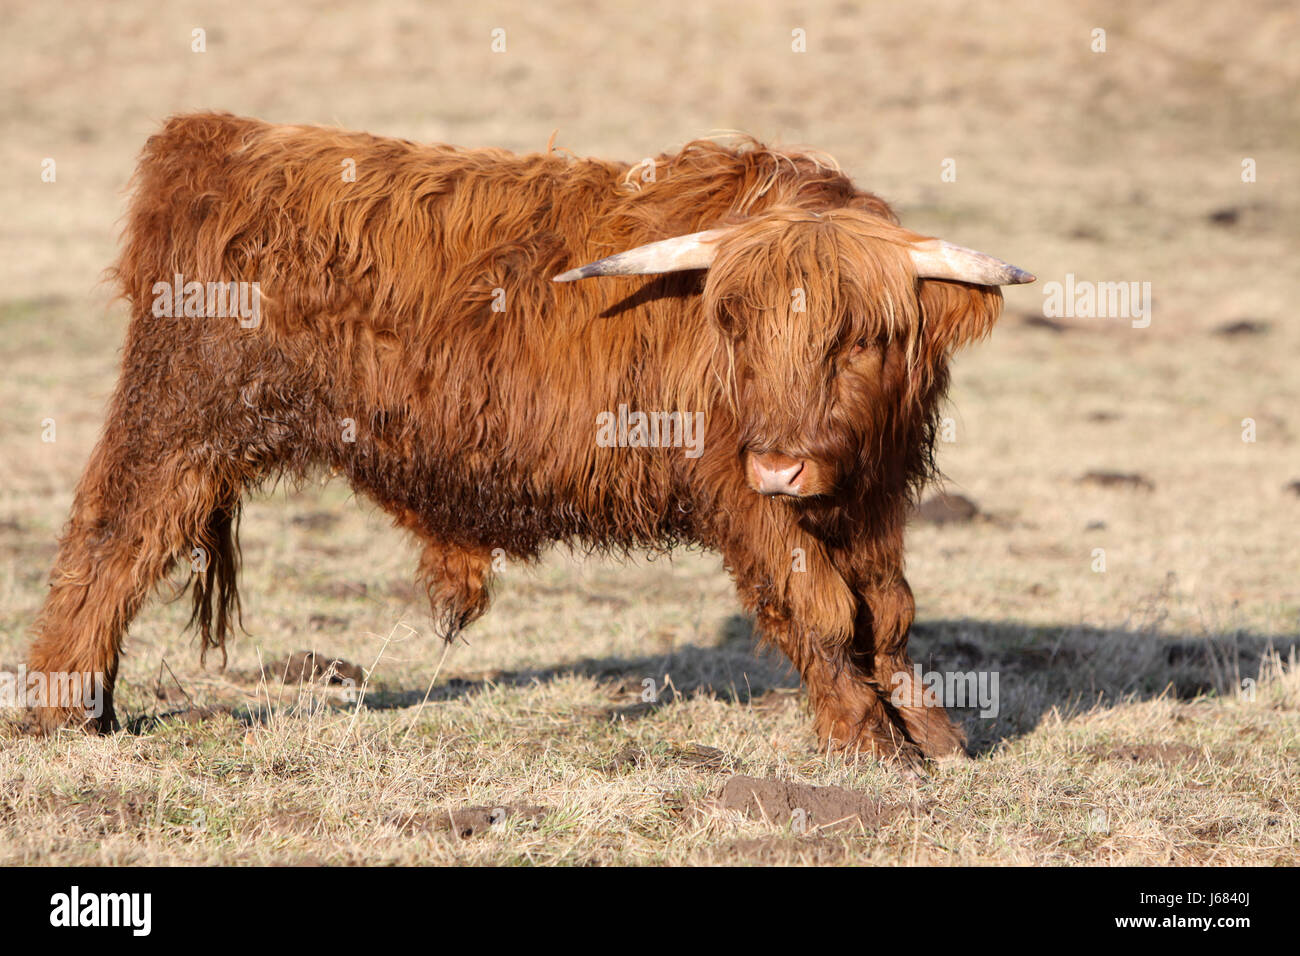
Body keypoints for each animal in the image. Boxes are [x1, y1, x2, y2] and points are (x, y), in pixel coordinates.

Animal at [28, 112, 1031, 766]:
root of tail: (218, 135)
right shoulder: (741, 493)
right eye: (736, 325)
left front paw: (932, 730)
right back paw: (63, 712)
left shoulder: (875, 495)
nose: (781, 460)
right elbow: (820, 609)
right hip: (179, 420)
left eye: (859, 340)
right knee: (107, 544)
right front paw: (868, 743)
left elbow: (885, 612)